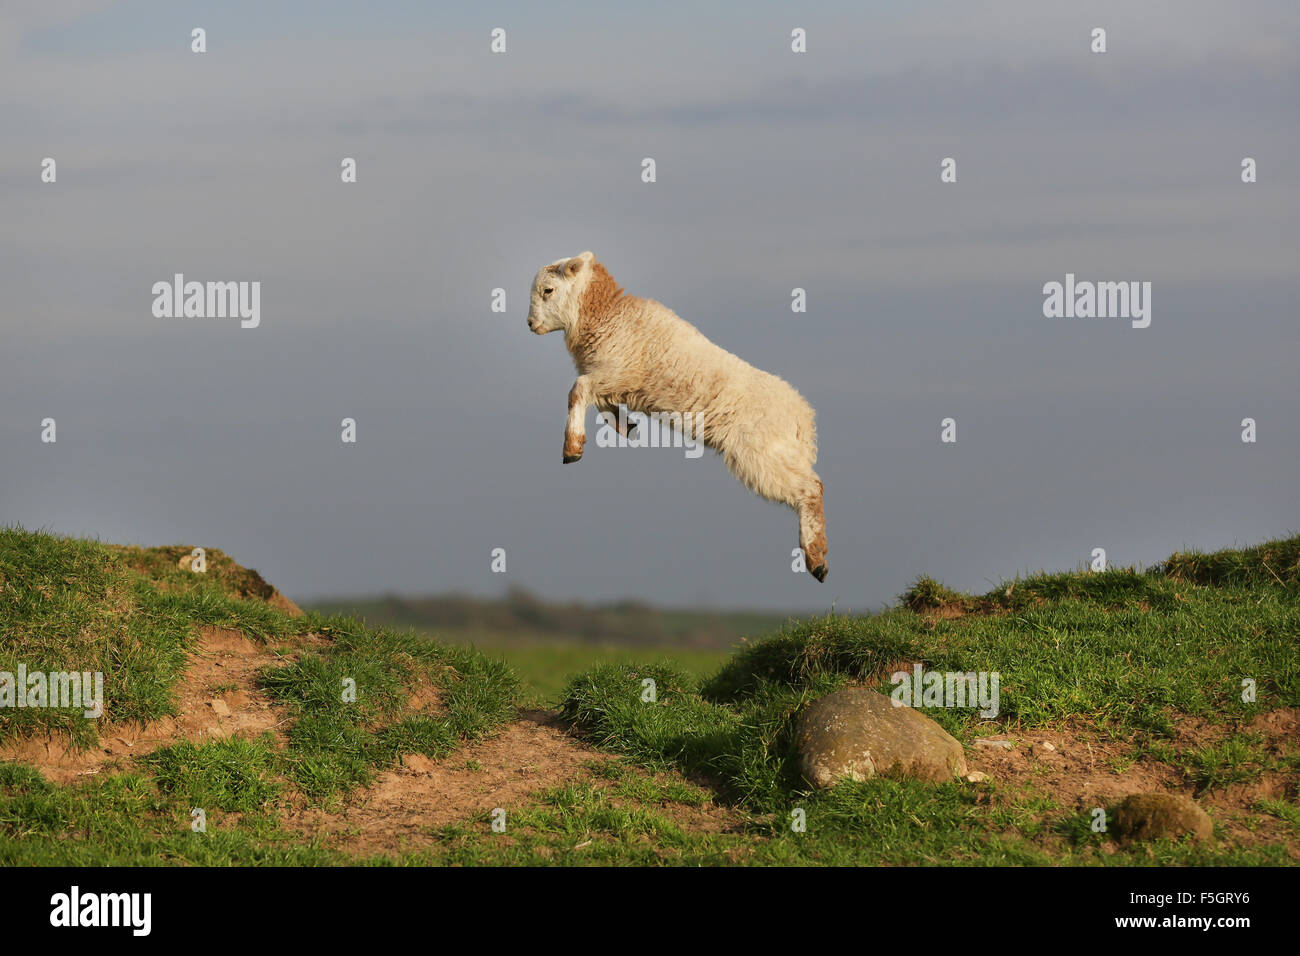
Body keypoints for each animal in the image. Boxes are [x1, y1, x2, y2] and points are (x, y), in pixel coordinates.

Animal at [526, 251, 828, 582]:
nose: (530, 324)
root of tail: (803, 418)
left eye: (548, 290)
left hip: (761, 455)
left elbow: (577, 391)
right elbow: (599, 403)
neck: (605, 314)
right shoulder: (615, 383)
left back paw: (815, 559)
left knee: (811, 488)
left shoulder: (618, 372)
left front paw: (572, 448)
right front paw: (625, 426)